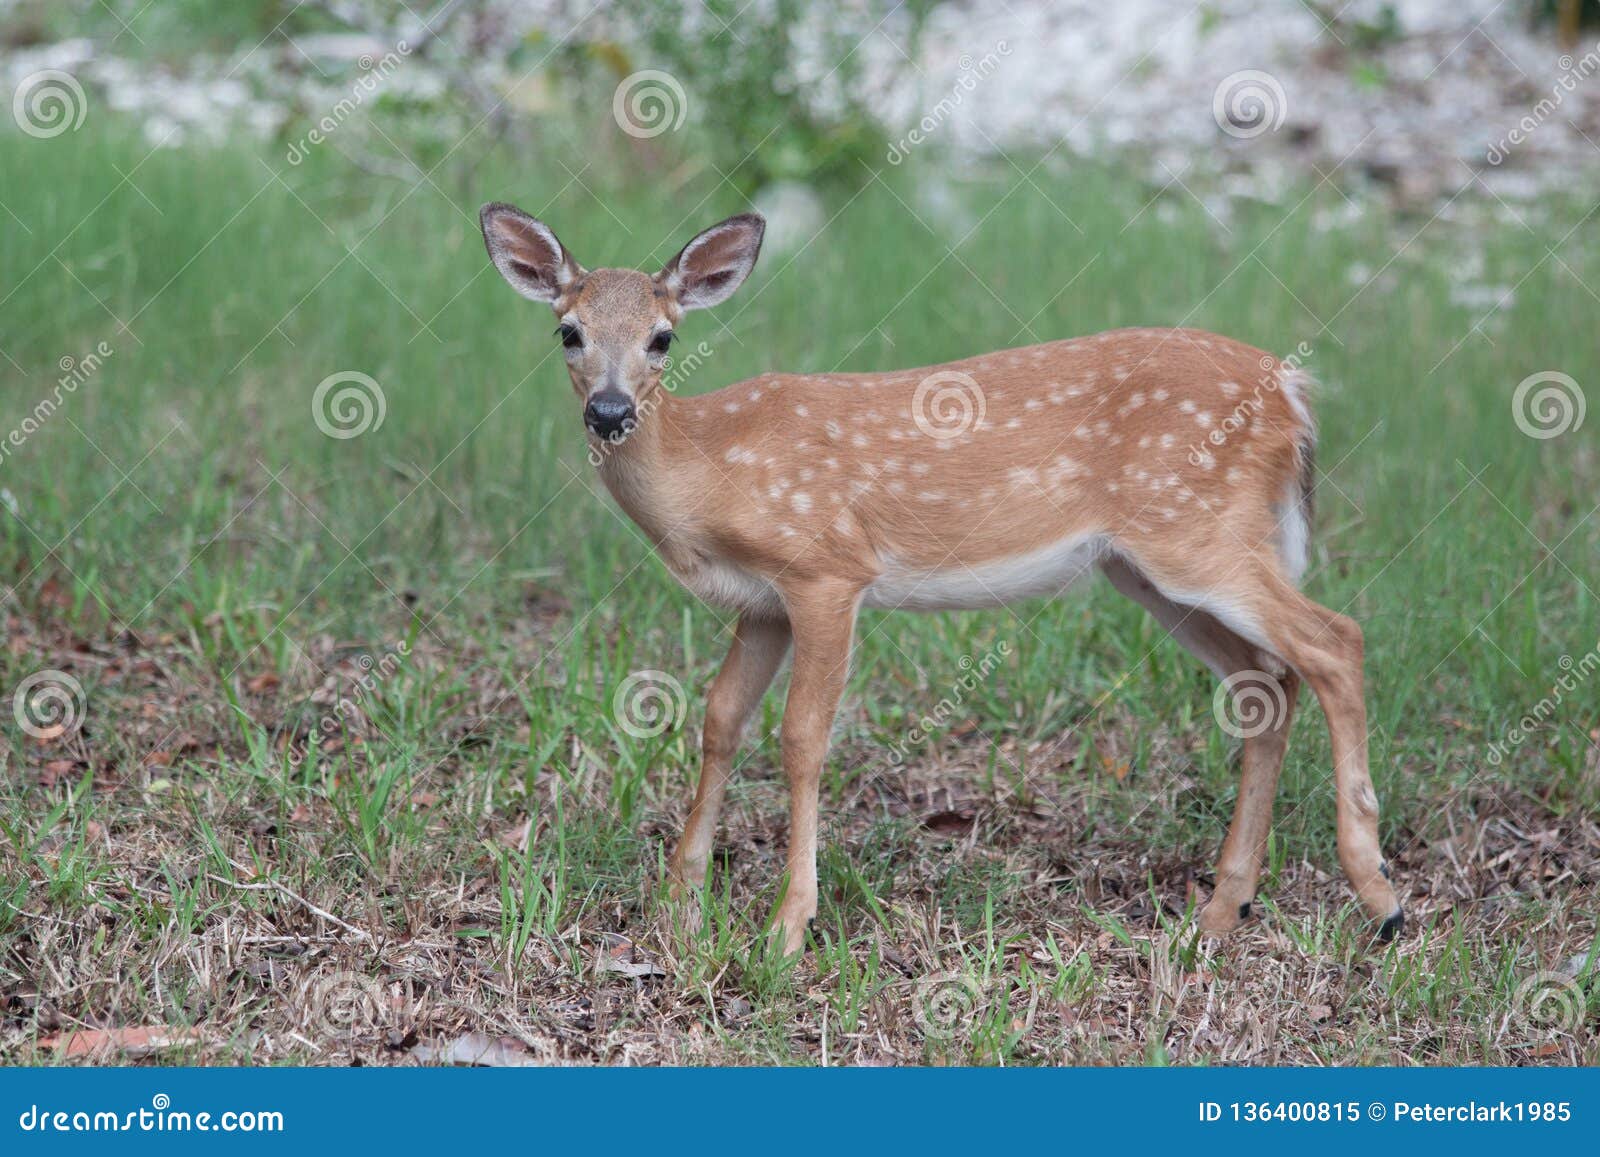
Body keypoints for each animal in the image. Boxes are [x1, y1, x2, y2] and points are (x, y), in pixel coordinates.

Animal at [479, 202, 1403, 956]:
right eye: (568, 330)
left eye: (663, 336)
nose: (609, 411)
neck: (707, 472)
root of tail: (1294, 390)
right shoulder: (763, 604)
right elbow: (719, 720)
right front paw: (680, 899)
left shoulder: (827, 567)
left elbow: (801, 738)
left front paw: (787, 924)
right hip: (1150, 566)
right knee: (1267, 683)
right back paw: (1220, 910)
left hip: (1199, 532)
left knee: (1336, 641)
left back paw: (1379, 895)